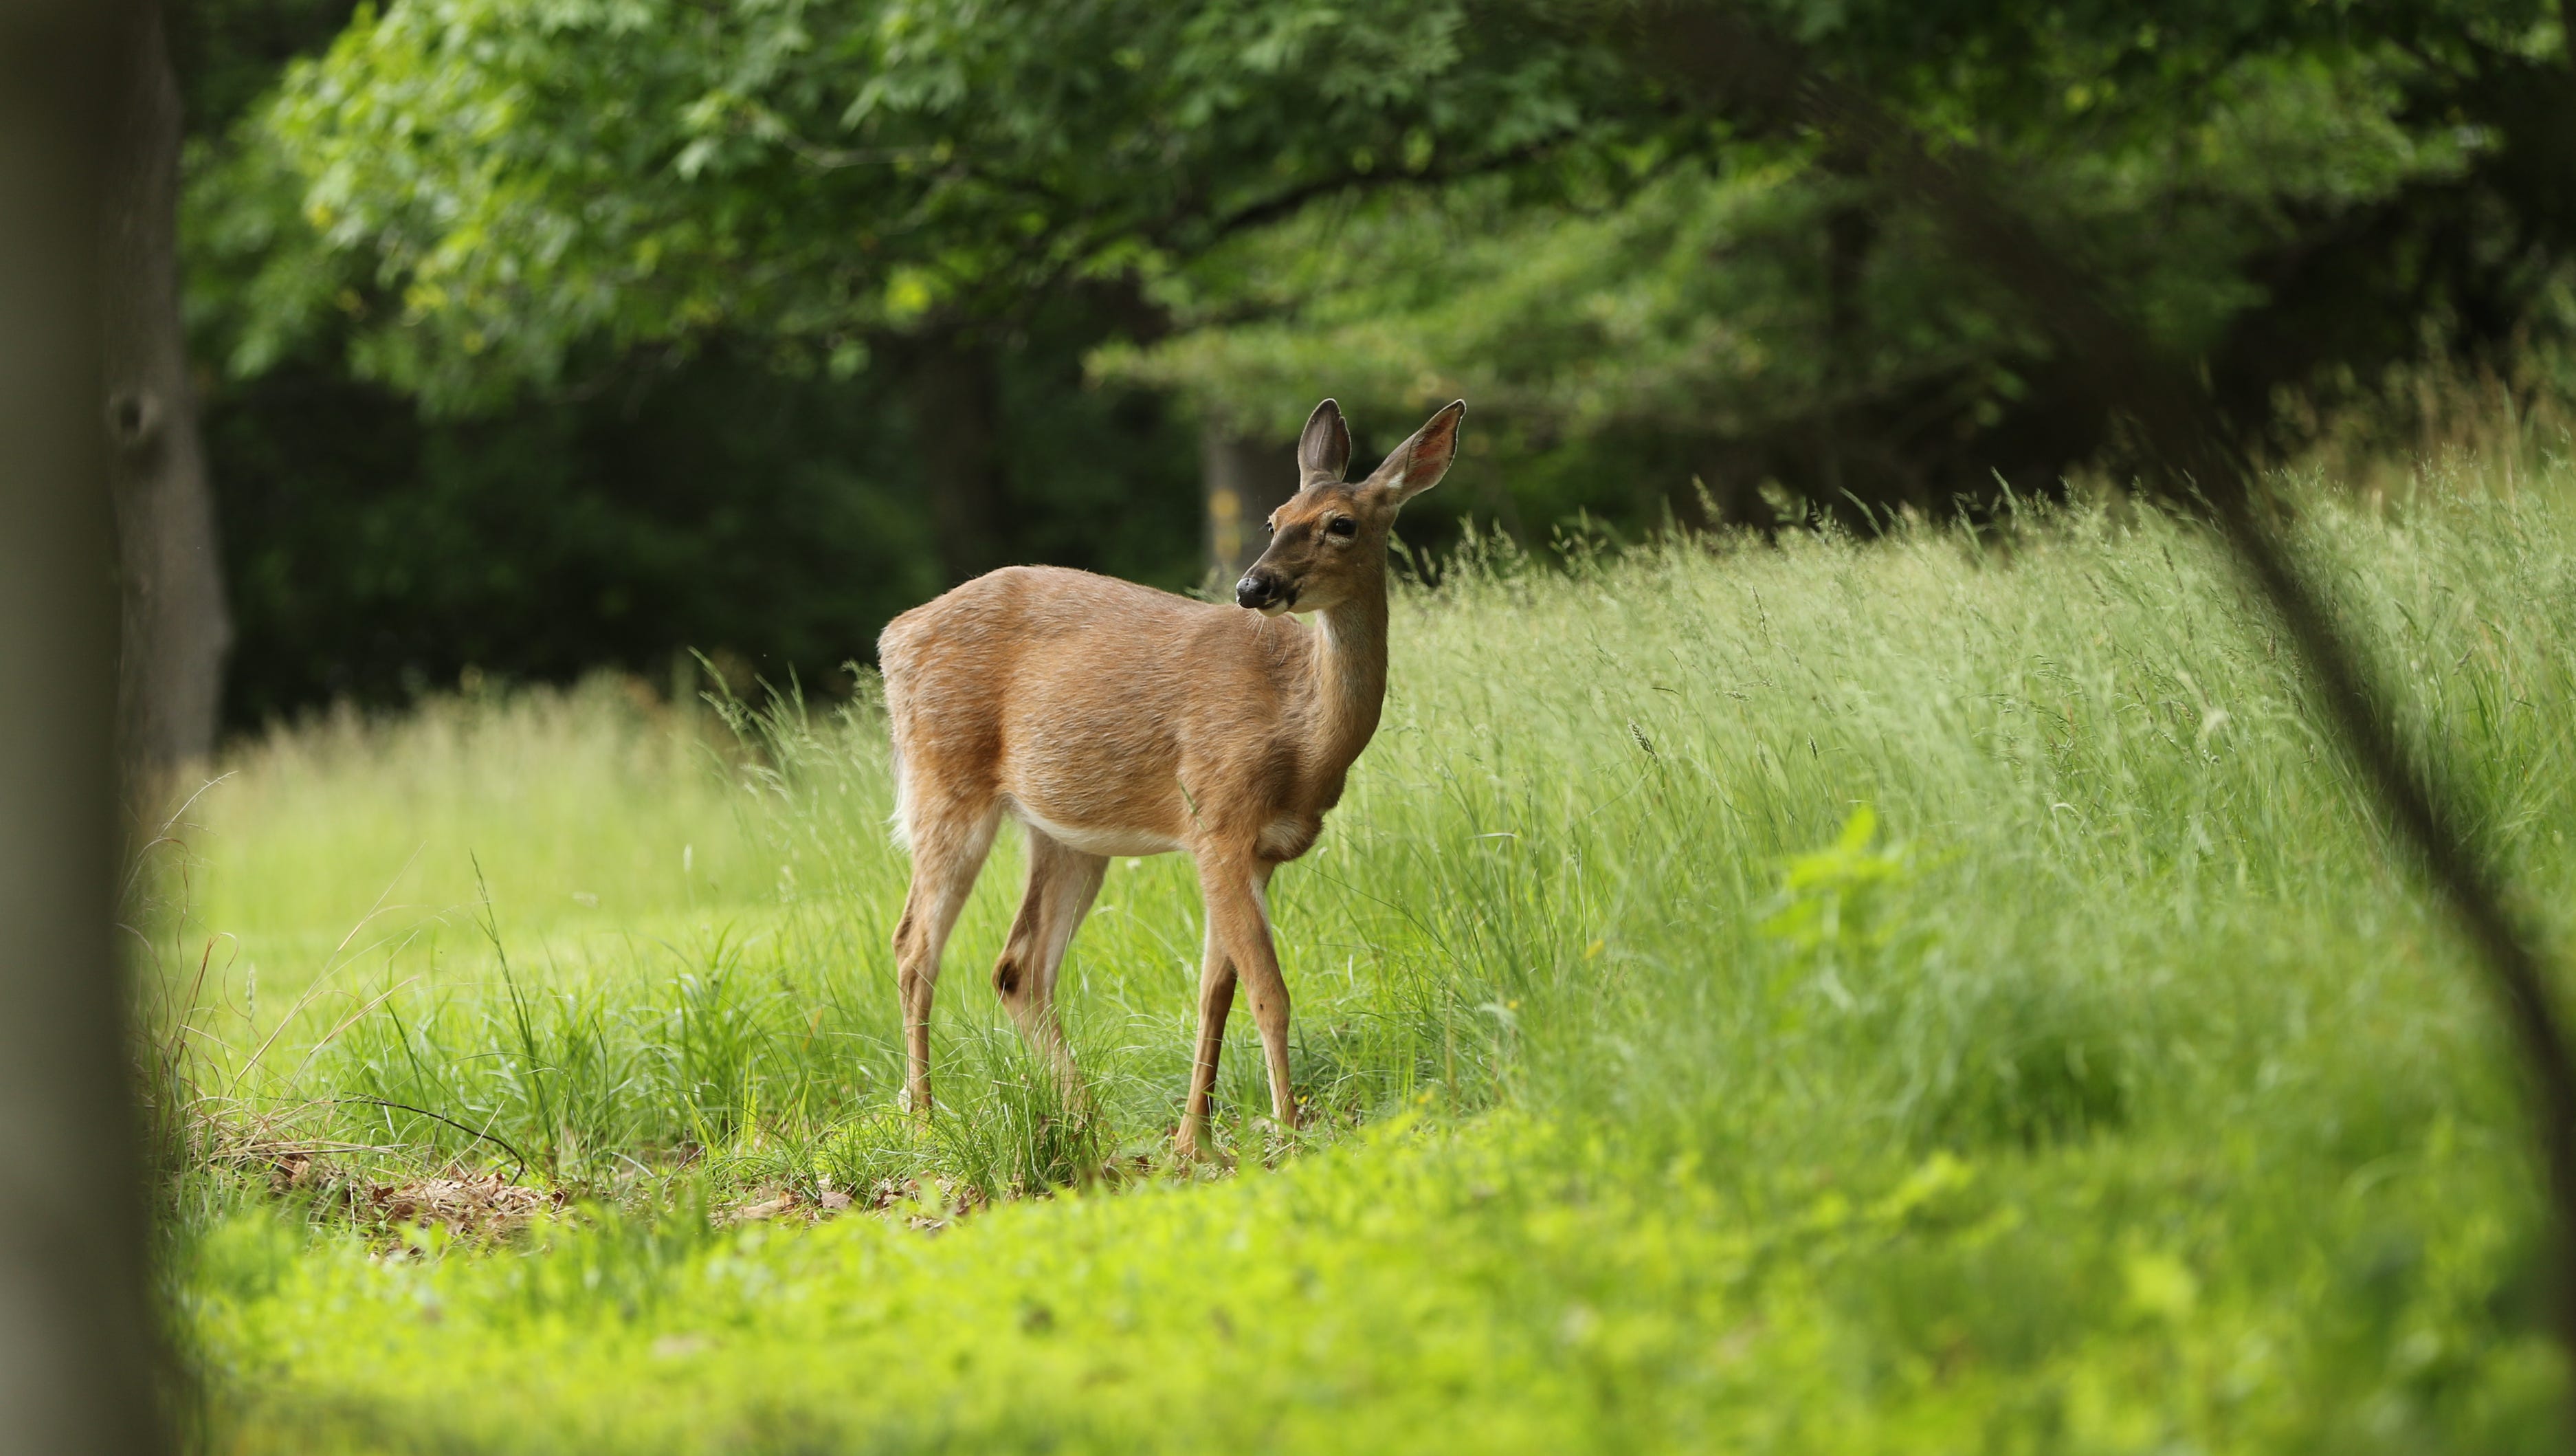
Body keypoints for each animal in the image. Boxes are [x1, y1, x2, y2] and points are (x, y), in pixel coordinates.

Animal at [876, 397, 1465, 1159]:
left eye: (1342, 523)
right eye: (1273, 519)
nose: (1252, 586)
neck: (1303, 737)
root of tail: (892, 635)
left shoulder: (1258, 851)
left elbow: (1217, 991)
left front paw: (1194, 1140)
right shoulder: (1215, 819)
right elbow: (1269, 993)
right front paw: (1290, 1130)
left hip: (1065, 833)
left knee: (1018, 968)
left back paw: (1088, 1123)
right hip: (944, 782)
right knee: (914, 945)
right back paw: (924, 1119)